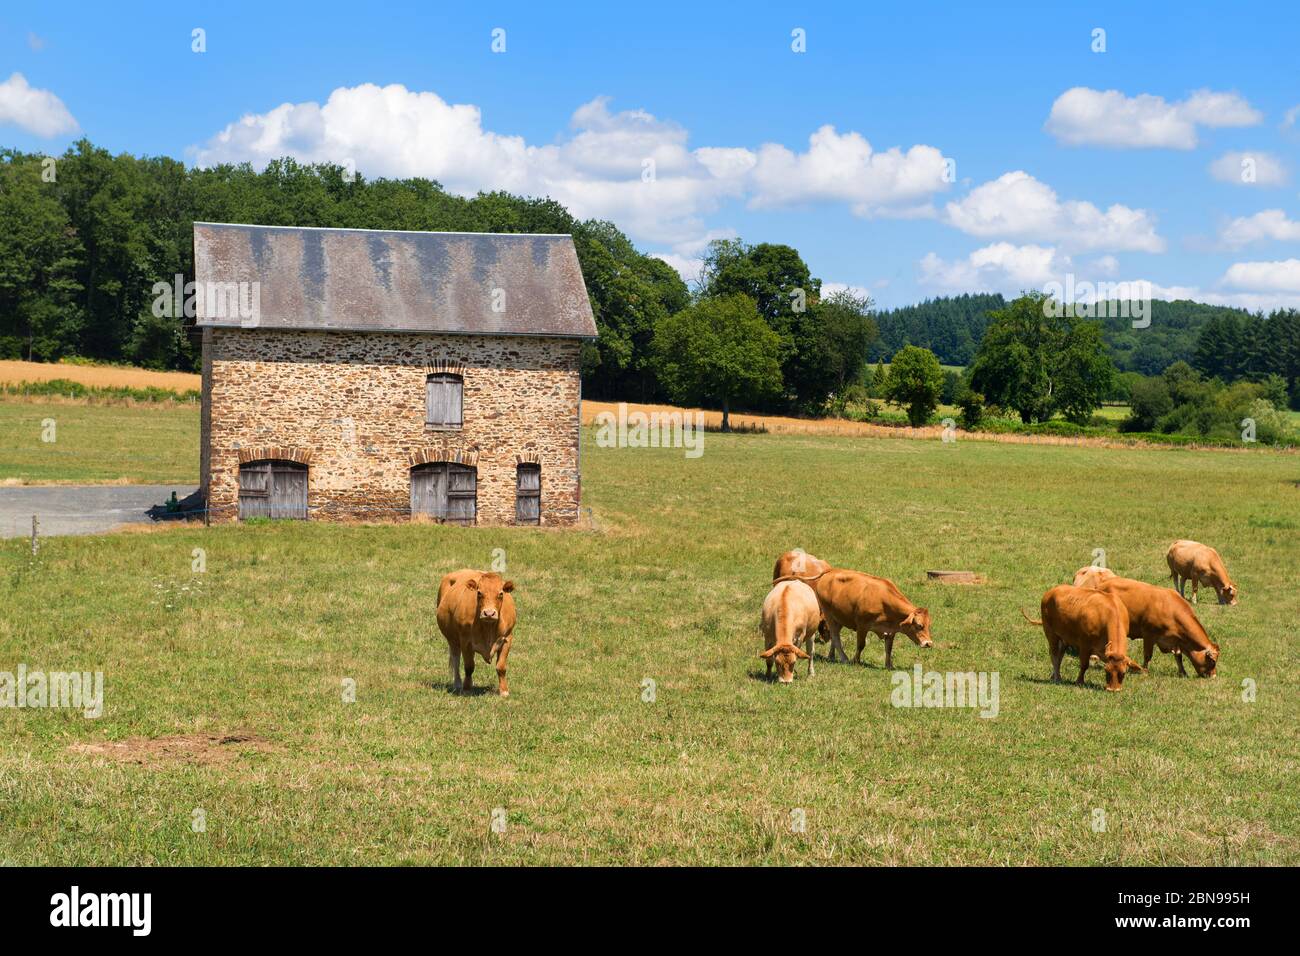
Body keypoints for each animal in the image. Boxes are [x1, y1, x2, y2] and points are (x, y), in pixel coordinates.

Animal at [436, 568, 517, 697]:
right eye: (479, 593)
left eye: (500, 593)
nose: (489, 613)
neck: (488, 627)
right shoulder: (466, 641)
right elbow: (469, 667)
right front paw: (467, 689)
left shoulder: (507, 638)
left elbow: (501, 667)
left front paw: (504, 691)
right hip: (452, 639)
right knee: (456, 660)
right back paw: (458, 684)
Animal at [799, 569, 932, 669]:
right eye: (919, 625)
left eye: (928, 625)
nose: (929, 643)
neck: (884, 601)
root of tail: (832, 571)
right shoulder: (862, 626)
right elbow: (861, 645)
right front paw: (856, 661)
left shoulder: (891, 631)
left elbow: (888, 648)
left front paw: (889, 666)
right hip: (829, 615)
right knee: (835, 637)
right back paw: (844, 658)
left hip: (839, 618)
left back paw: (831, 656)